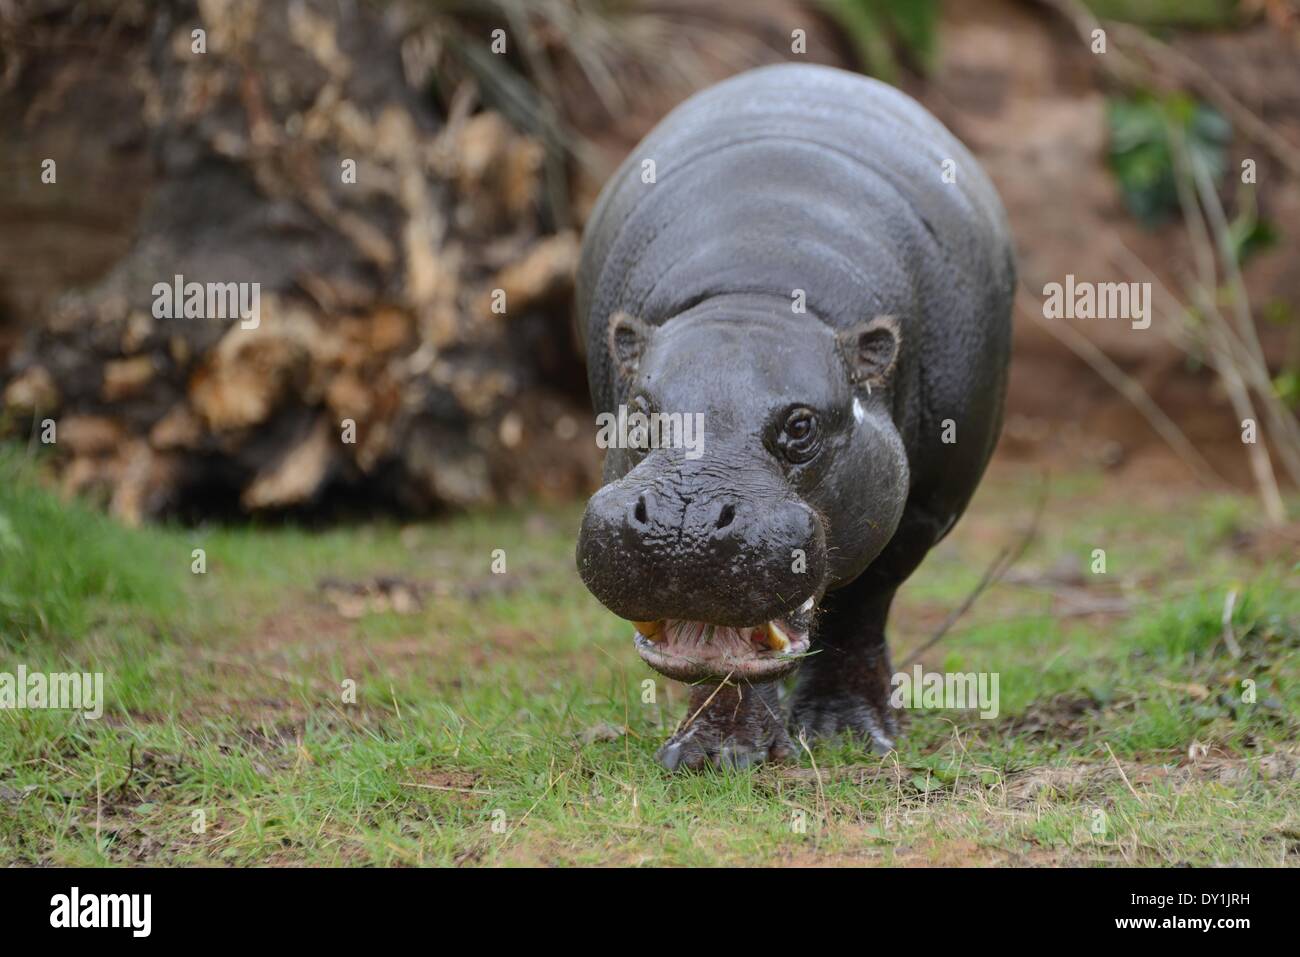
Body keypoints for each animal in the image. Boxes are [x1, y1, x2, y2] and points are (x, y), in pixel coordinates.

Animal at [574, 63, 1015, 770]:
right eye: (639, 411)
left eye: (802, 426)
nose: (682, 522)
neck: (758, 291)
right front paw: (714, 754)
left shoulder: (921, 510)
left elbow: (864, 603)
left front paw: (846, 732)